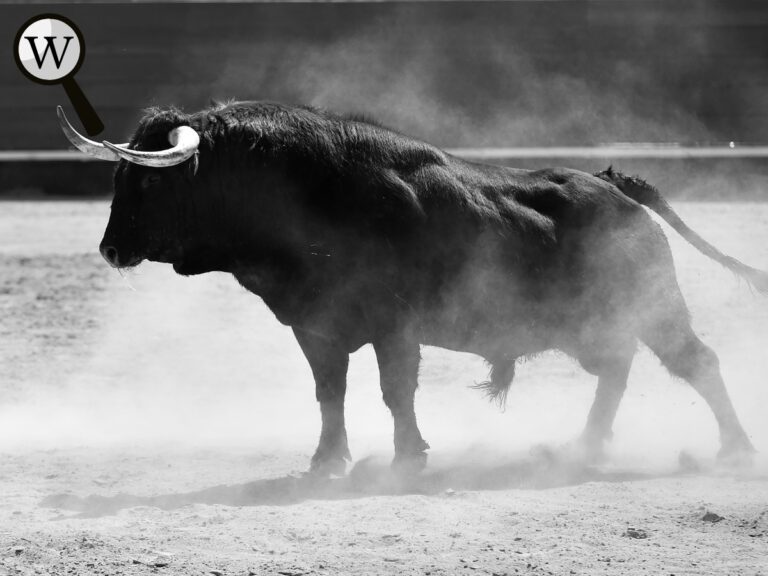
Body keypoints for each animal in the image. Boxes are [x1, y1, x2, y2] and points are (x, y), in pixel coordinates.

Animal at [57, 101, 763, 476]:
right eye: (118, 179)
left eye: (150, 180)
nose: (110, 249)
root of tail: (614, 185)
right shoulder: (315, 327)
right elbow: (330, 393)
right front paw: (328, 460)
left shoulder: (395, 326)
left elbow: (395, 390)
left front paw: (406, 457)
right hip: (596, 324)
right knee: (616, 368)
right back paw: (584, 446)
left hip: (656, 308)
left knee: (697, 362)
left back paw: (733, 448)